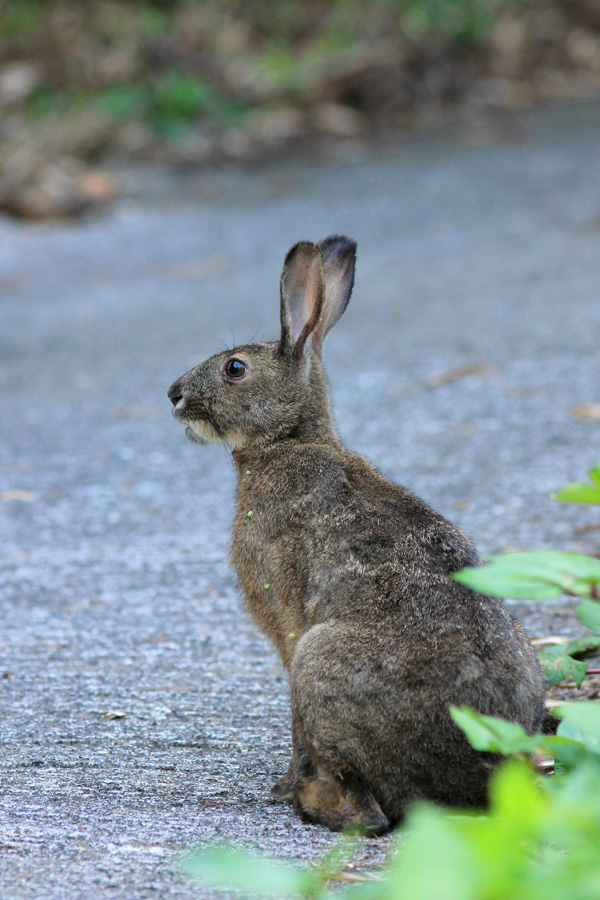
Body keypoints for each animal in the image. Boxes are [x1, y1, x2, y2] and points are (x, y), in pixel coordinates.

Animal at [168, 236, 546, 834]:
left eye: (235, 368)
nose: (174, 395)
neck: (289, 441)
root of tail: (474, 779)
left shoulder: (288, 621)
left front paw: (281, 786)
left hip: (319, 660)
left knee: (368, 812)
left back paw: (309, 799)